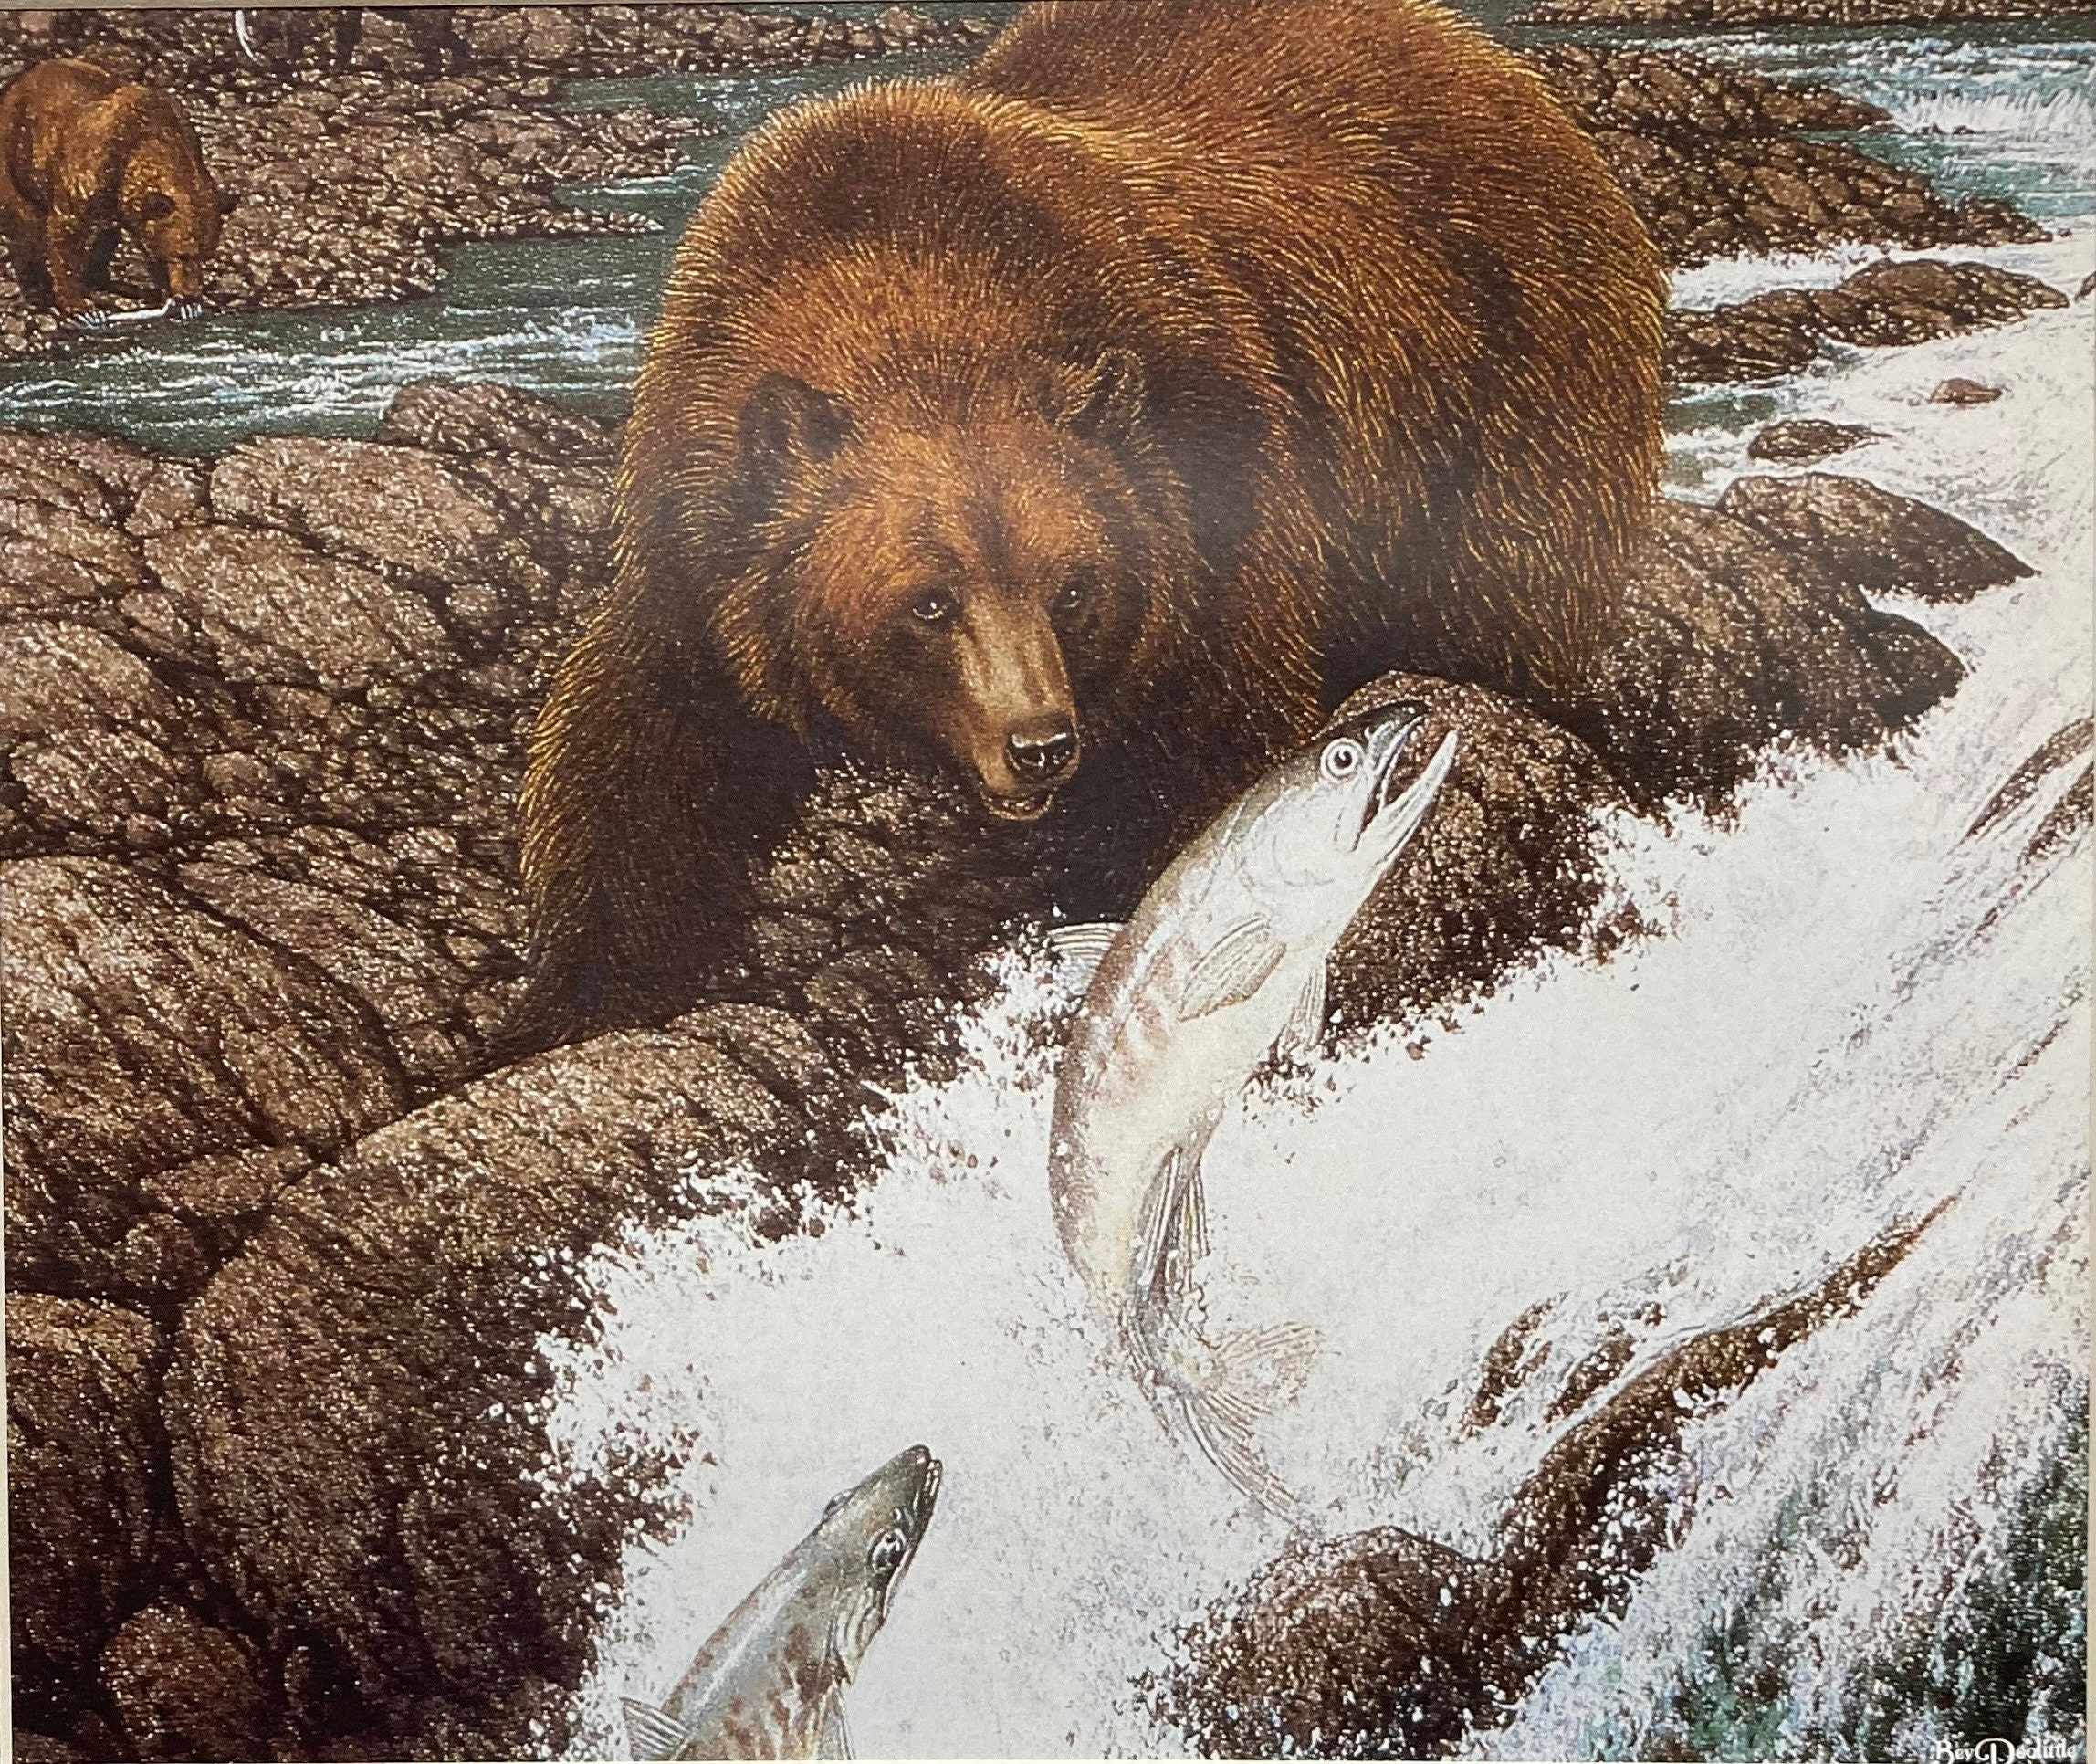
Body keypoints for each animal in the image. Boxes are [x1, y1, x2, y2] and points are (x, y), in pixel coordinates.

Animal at [0, 59, 234, 321]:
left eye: (205, 254)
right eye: (181, 253)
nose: (191, 294)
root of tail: (18, 82)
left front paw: (184, 301)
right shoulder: (89, 173)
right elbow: (65, 236)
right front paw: (81, 308)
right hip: (15, 157)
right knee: (26, 225)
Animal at [509, 0, 1667, 1051]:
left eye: (1072, 588)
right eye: (929, 602)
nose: (1040, 746)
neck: (908, 292)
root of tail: (1492, 67)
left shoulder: (1207, 490)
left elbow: (1205, 760)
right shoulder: (704, 537)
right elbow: (640, 770)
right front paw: (573, 1001)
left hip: (1500, 391)